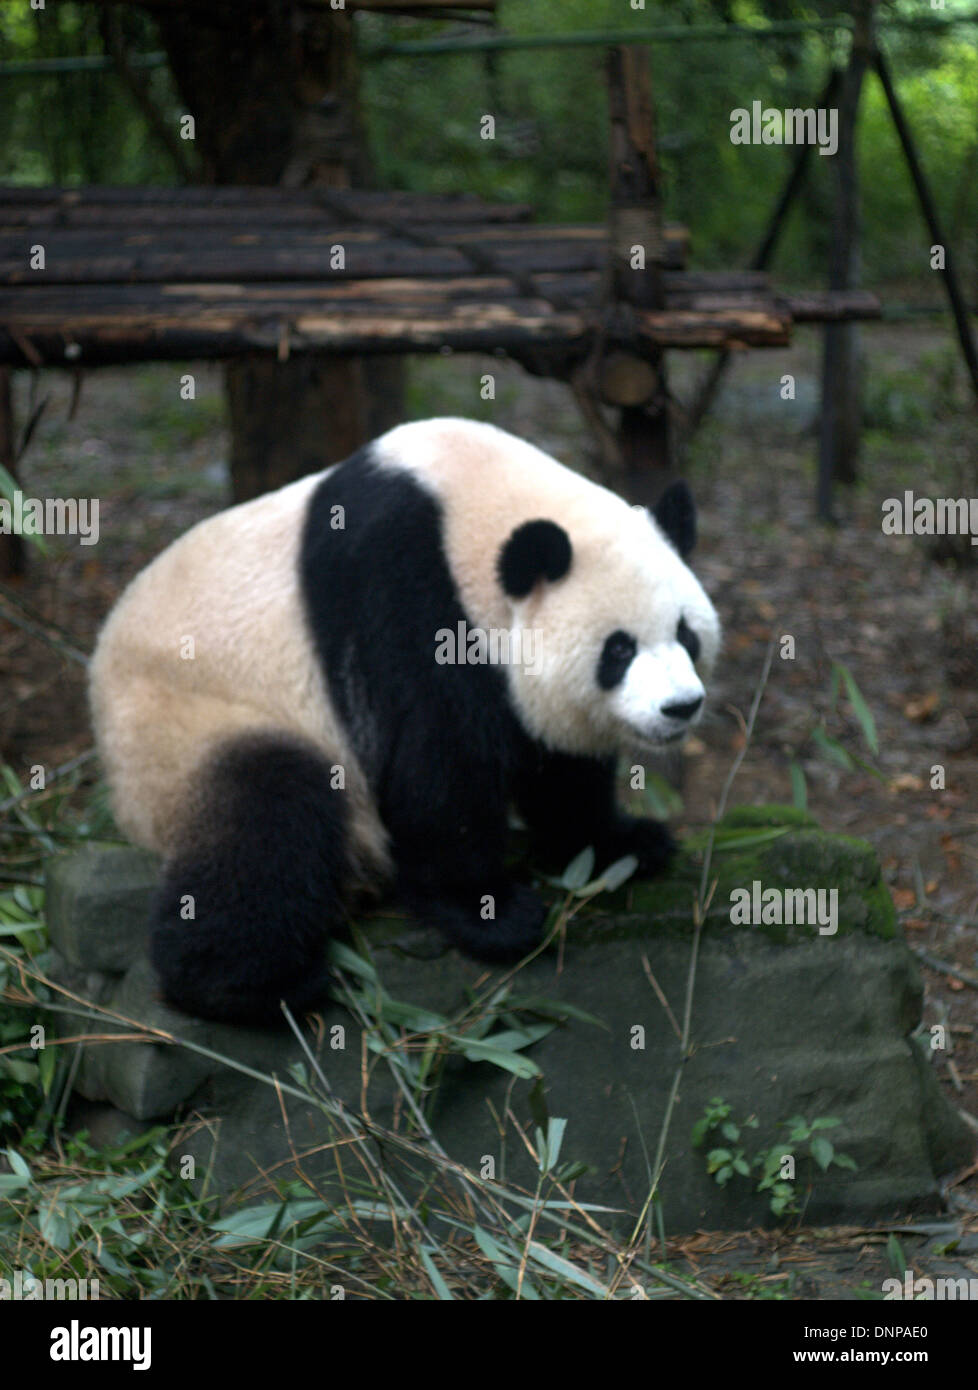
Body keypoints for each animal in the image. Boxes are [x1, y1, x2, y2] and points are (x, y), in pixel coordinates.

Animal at [89, 417, 720, 1025]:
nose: (681, 706)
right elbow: (437, 760)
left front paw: (621, 843)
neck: (464, 508)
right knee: (267, 814)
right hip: (187, 720)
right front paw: (490, 912)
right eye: (619, 650)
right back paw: (250, 989)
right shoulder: (398, 586)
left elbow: (558, 764)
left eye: (686, 634)